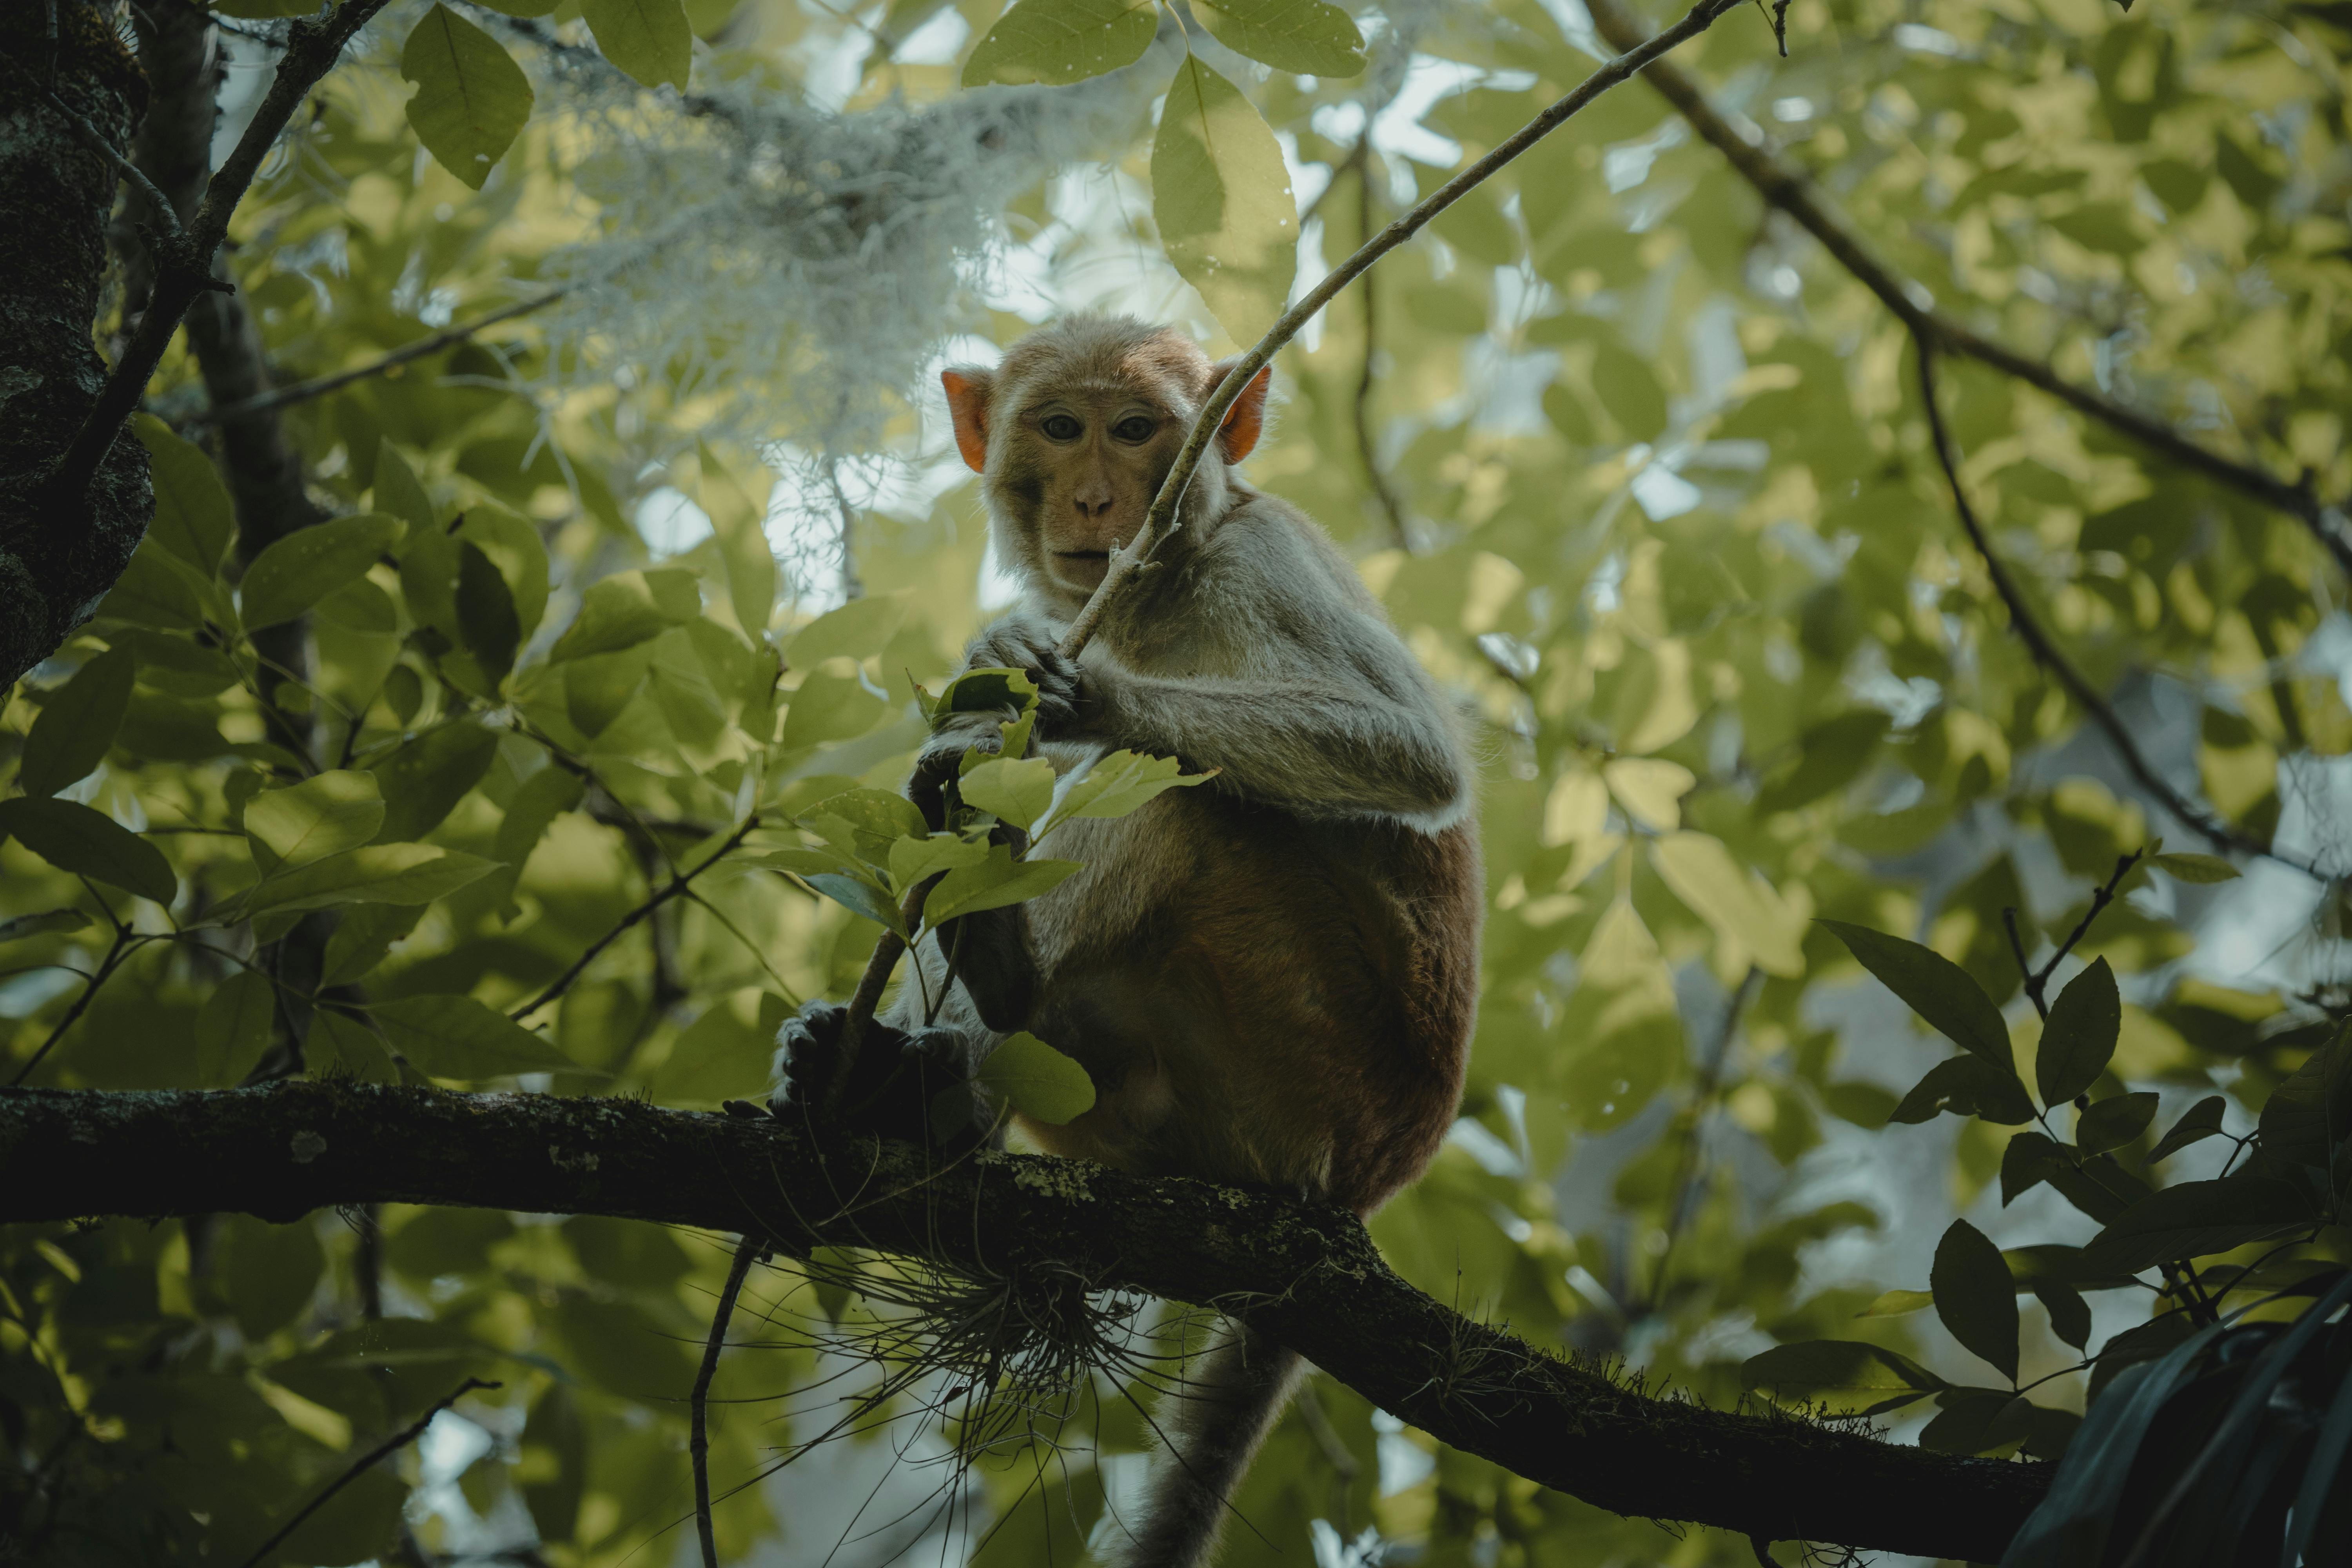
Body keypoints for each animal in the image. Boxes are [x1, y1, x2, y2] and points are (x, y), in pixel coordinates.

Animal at [772, 313, 1482, 1568]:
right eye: (1063, 429)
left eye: (1140, 429)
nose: (1099, 499)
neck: (1163, 587)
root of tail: (1373, 1179)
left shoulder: (1264, 557)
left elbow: (1409, 750)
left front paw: (1070, 694)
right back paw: (905, 1081)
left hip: (1302, 1056)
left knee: (1186, 801)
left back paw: (982, 1010)